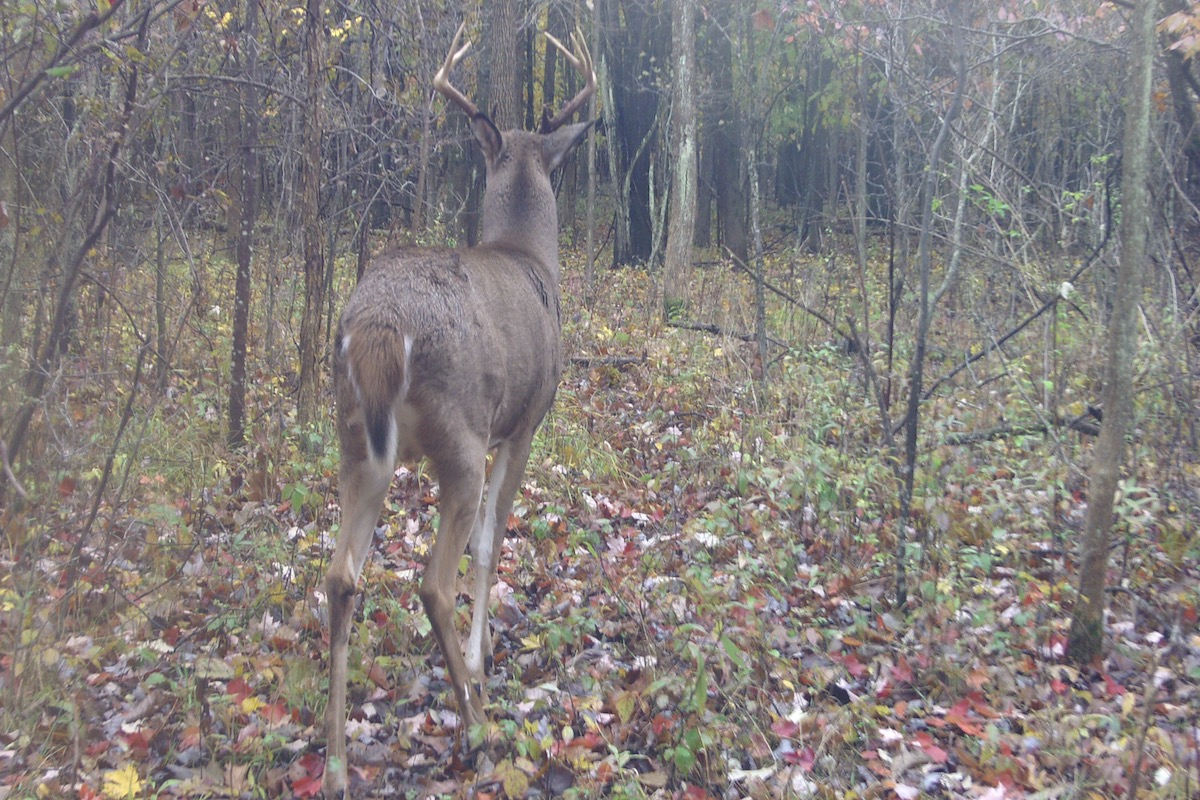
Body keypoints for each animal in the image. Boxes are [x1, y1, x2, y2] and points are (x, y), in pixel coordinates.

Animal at [321, 21, 596, 798]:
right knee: (431, 582)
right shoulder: (525, 421)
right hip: (460, 437)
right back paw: (475, 725)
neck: (529, 258)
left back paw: (337, 760)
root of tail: (380, 326)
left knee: (341, 578)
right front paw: (481, 661)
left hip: (356, 439)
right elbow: (490, 542)